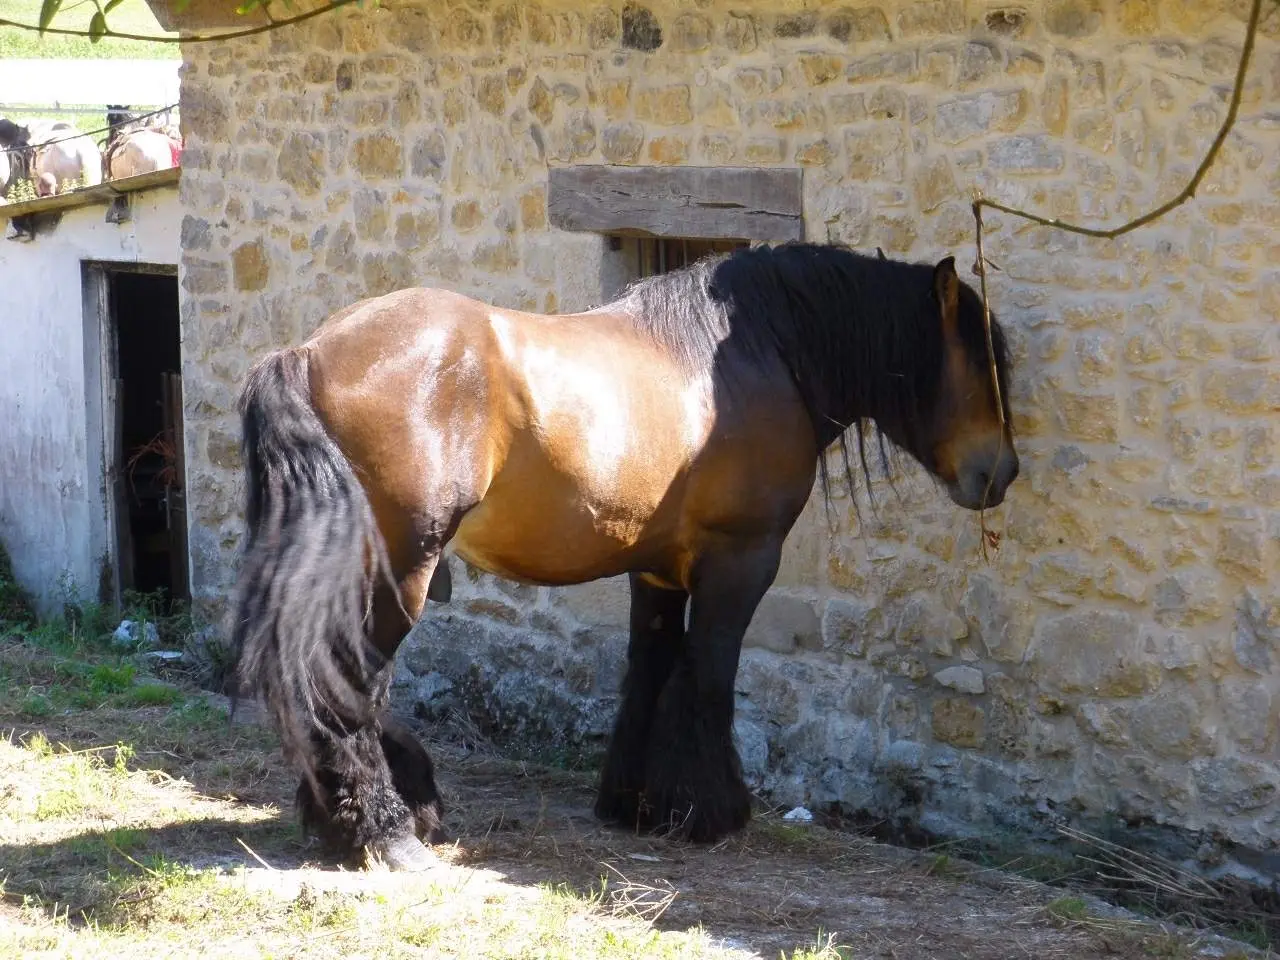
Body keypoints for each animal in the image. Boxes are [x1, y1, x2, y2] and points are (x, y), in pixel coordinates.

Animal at [230, 241, 1019, 872]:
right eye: (981, 364)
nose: (1001, 473)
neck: (757, 355)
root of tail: (307, 354)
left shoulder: (656, 566)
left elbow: (650, 669)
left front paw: (636, 803)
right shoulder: (741, 560)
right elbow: (710, 676)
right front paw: (712, 811)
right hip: (401, 571)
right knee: (344, 683)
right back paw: (385, 830)